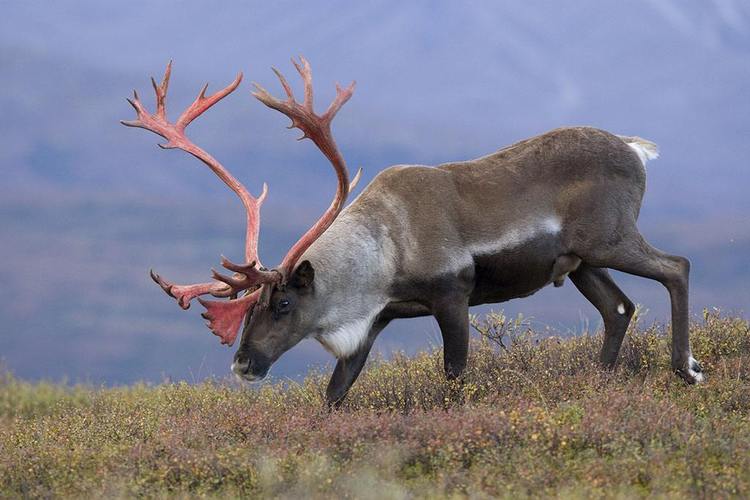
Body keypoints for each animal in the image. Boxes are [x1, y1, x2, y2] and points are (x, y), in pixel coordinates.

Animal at [122, 58, 704, 406]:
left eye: (283, 304)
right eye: (247, 309)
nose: (243, 364)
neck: (382, 255)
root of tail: (634, 148)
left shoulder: (453, 296)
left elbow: (455, 373)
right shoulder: (373, 323)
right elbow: (335, 392)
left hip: (609, 238)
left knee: (676, 267)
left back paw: (686, 369)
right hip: (581, 262)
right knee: (619, 308)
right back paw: (598, 383)